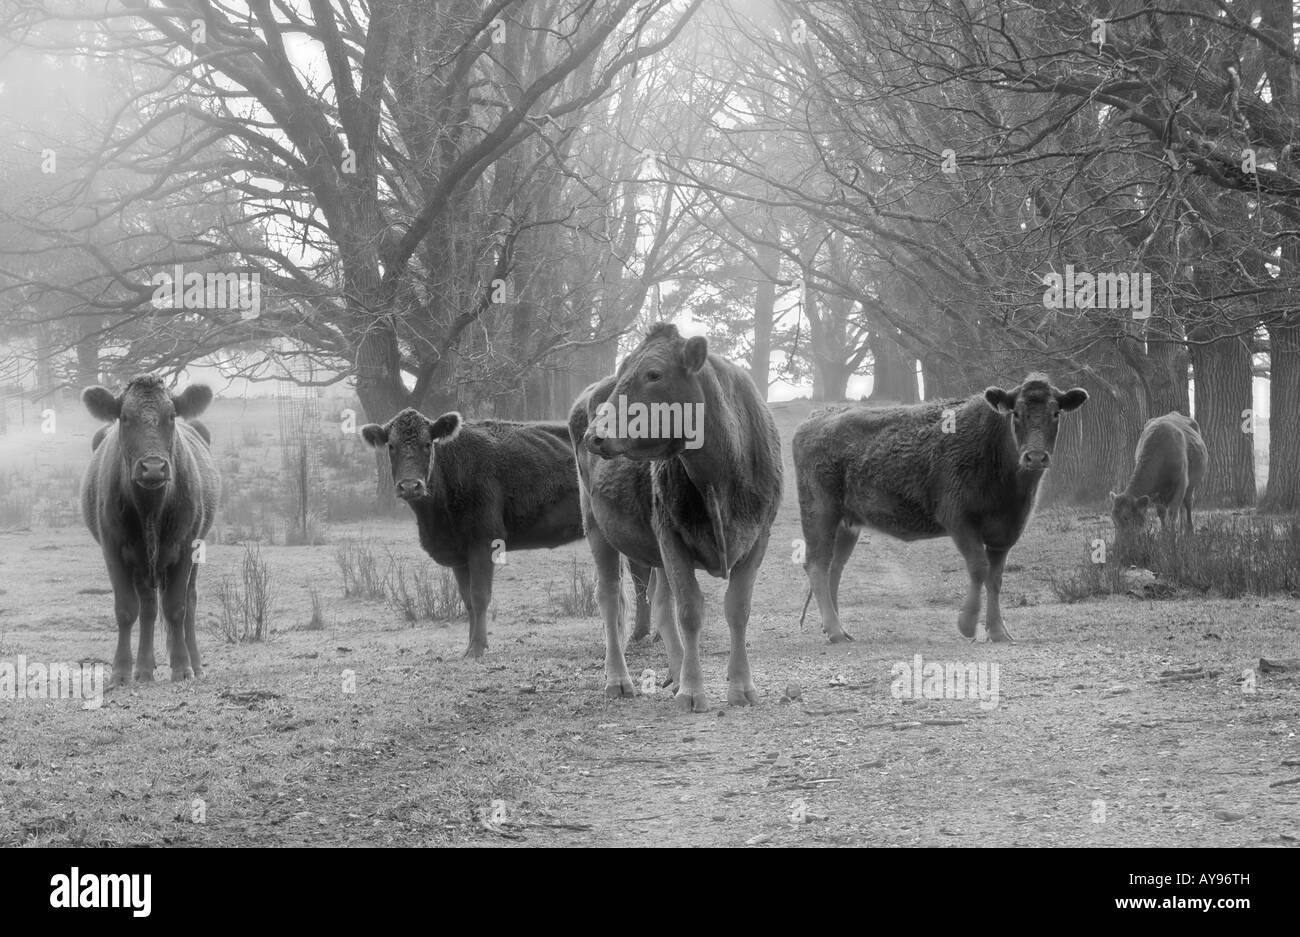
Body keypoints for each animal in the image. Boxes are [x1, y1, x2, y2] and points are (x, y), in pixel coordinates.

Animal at [80, 375, 220, 686]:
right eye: (125, 417)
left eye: (171, 416)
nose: (153, 467)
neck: (150, 508)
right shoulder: (113, 549)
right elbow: (126, 609)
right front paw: (121, 671)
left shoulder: (185, 548)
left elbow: (176, 608)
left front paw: (182, 667)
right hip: (141, 564)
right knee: (146, 607)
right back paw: (144, 667)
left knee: (188, 601)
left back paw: (195, 663)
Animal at [360, 409, 650, 658]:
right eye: (391, 446)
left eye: (427, 444)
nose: (410, 486)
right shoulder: (459, 553)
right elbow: (467, 600)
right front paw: (471, 644)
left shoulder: (483, 541)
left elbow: (479, 596)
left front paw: (477, 648)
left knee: (643, 578)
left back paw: (641, 633)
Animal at [572, 323, 783, 712]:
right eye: (624, 372)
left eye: (654, 374)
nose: (595, 435)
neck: (719, 476)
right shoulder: (671, 536)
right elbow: (690, 611)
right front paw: (692, 690)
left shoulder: (758, 537)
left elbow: (737, 609)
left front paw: (741, 686)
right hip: (595, 525)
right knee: (610, 597)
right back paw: (619, 679)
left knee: (658, 602)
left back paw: (675, 670)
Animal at [793, 372, 1087, 644]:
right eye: (1016, 413)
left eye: (1055, 413)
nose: (1035, 457)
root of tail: (815, 418)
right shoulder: (960, 521)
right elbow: (979, 568)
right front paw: (967, 625)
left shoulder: (1005, 531)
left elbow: (995, 578)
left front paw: (998, 632)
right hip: (820, 514)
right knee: (817, 565)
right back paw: (835, 630)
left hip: (847, 525)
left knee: (834, 567)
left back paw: (836, 628)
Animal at [1111, 411, 1207, 541]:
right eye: (1113, 518)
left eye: (1126, 517)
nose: (1119, 543)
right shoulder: (1156, 492)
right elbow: (1161, 513)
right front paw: (1165, 535)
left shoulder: (1181, 483)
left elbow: (1172, 512)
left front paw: (1172, 538)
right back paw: (1181, 531)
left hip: (1192, 484)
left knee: (1187, 503)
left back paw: (1188, 532)